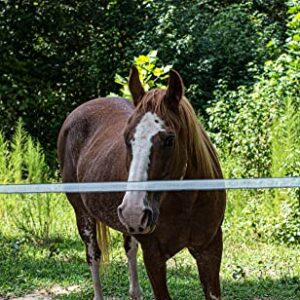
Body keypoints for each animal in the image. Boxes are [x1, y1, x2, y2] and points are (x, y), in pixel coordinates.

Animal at [56, 67, 225, 298]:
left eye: (170, 140)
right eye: (126, 138)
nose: (134, 211)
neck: (187, 202)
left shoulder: (210, 249)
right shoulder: (154, 256)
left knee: (129, 250)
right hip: (84, 216)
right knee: (93, 256)